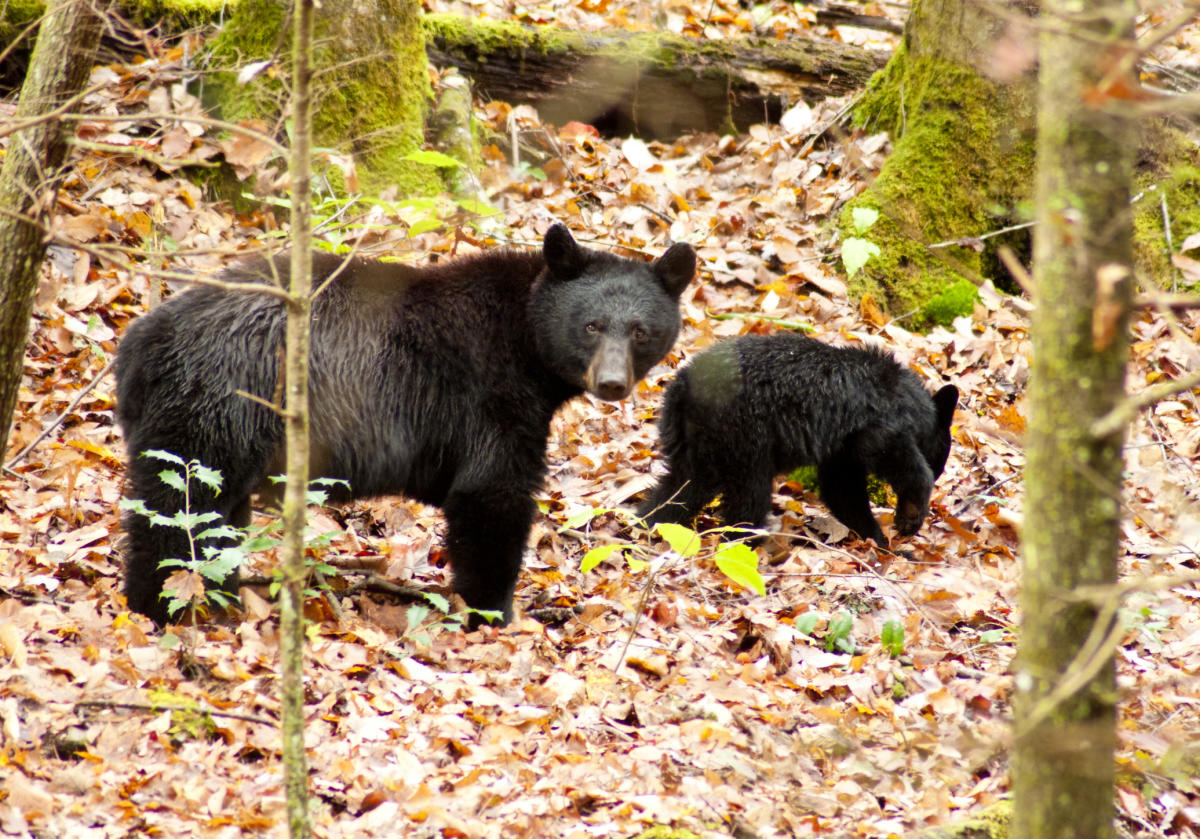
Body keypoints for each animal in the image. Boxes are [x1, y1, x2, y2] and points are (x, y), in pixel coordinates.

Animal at [116, 223, 695, 625]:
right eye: (591, 325)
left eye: (641, 330)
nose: (613, 383)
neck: (525, 339)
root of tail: (143, 339)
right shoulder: (489, 397)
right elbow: (491, 496)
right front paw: (495, 613)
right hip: (218, 406)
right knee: (178, 509)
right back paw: (163, 605)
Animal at [637, 332, 958, 546]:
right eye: (941, 463)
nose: (940, 473)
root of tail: (684, 388)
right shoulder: (875, 424)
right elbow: (892, 453)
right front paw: (909, 518)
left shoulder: (841, 449)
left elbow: (843, 491)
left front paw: (877, 540)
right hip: (744, 437)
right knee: (748, 498)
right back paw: (743, 543)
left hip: (693, 442)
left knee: (681, 487)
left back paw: (647, 524)